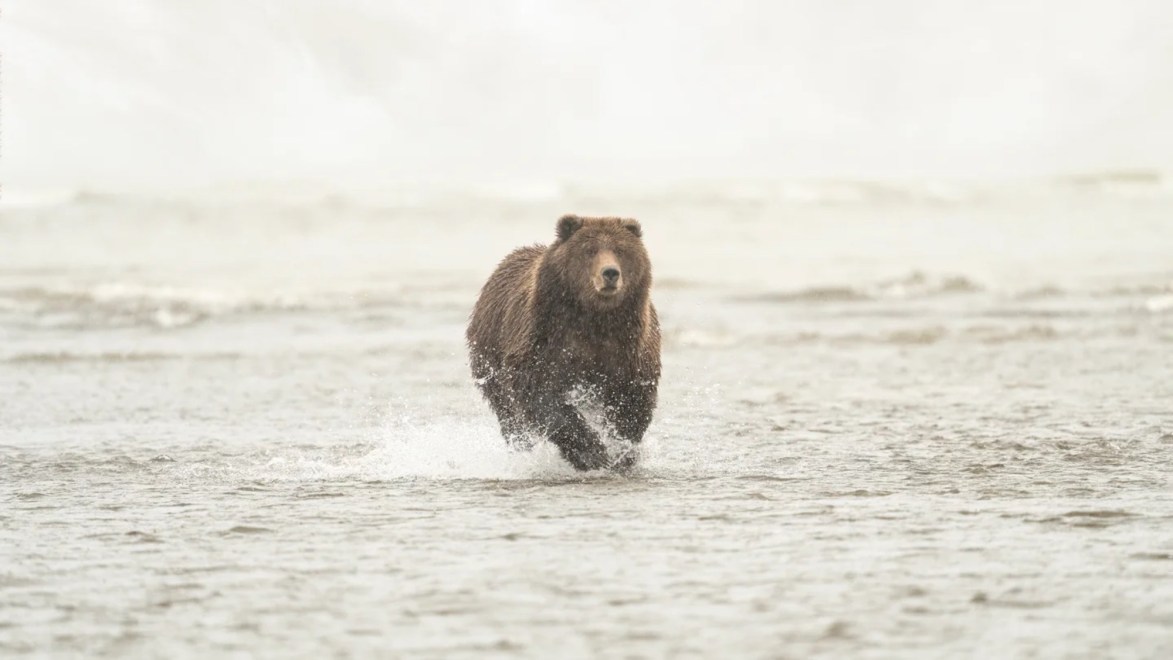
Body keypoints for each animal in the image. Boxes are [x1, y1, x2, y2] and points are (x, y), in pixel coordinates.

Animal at [466, 215, 661, 471]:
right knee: (509, 414)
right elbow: (539, 392)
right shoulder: (545, 338)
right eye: (589, 250)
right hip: (489, 354)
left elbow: (632, 400)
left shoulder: (629, 348)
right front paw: (592, 452)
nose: (610, 273)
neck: (595, 319)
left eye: (620, 250)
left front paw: (621, 451)